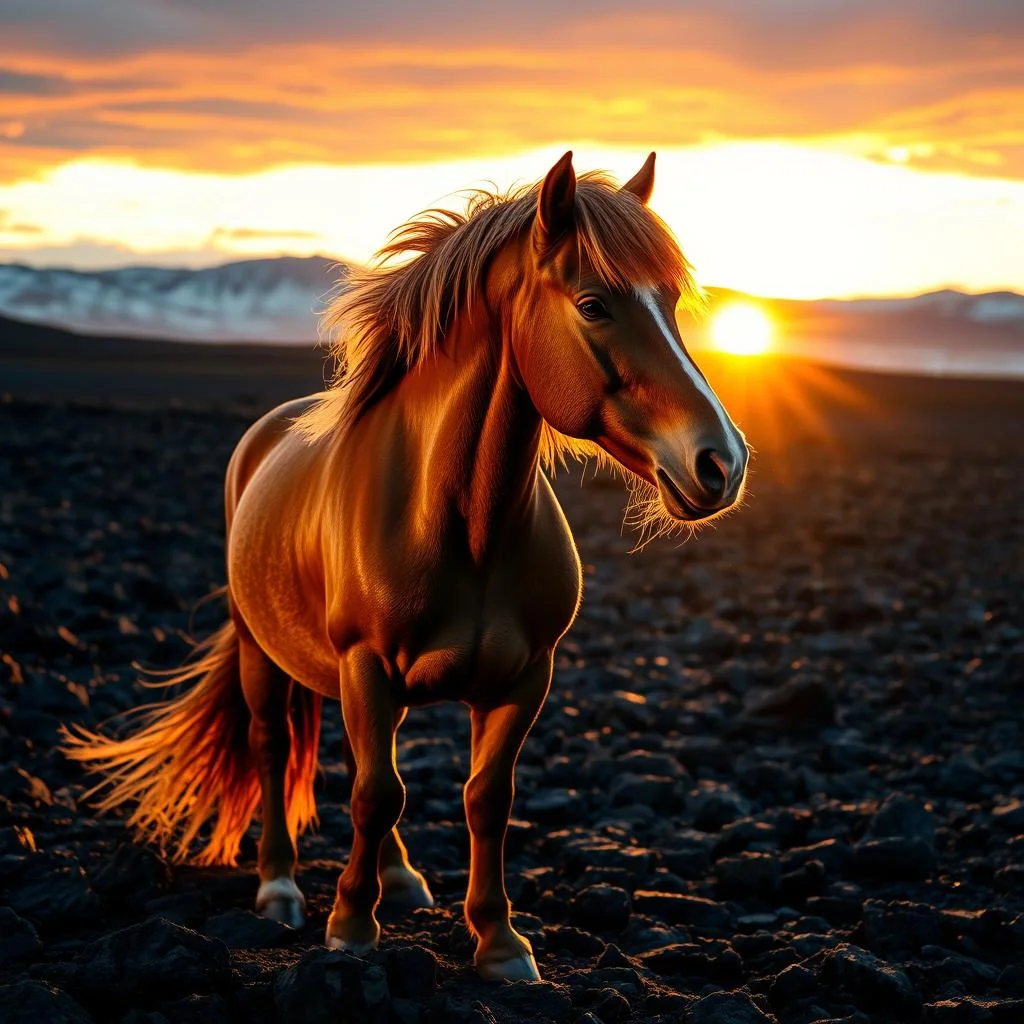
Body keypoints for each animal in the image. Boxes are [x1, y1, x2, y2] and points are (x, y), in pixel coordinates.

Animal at [62, 151, 749, 982]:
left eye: (672, 302)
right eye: (593, 304)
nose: (722, 462)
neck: (462, 527)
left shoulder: (525, 679)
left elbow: (484, 797)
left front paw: (498, 941)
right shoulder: (365, 664)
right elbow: (372, 793)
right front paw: (351, 926)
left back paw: (398, 877)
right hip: (264, 652)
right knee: (277, 748)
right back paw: (281, 887)